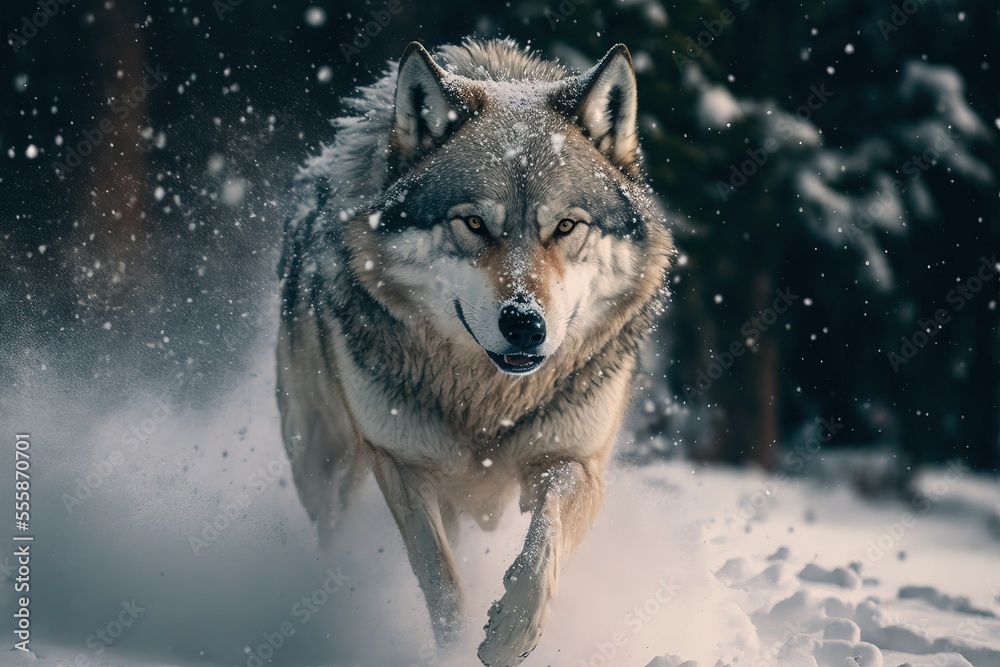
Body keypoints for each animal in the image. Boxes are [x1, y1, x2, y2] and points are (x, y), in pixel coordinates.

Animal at [276, 38, 673, 666]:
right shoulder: (403, 465)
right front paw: (454, 647)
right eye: (474, 223)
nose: (525, 325)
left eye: (566, 226)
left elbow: (541, 552)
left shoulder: (574, 461)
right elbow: (441, 581)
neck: (488, 402)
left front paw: (511, 634)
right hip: (328, 464)